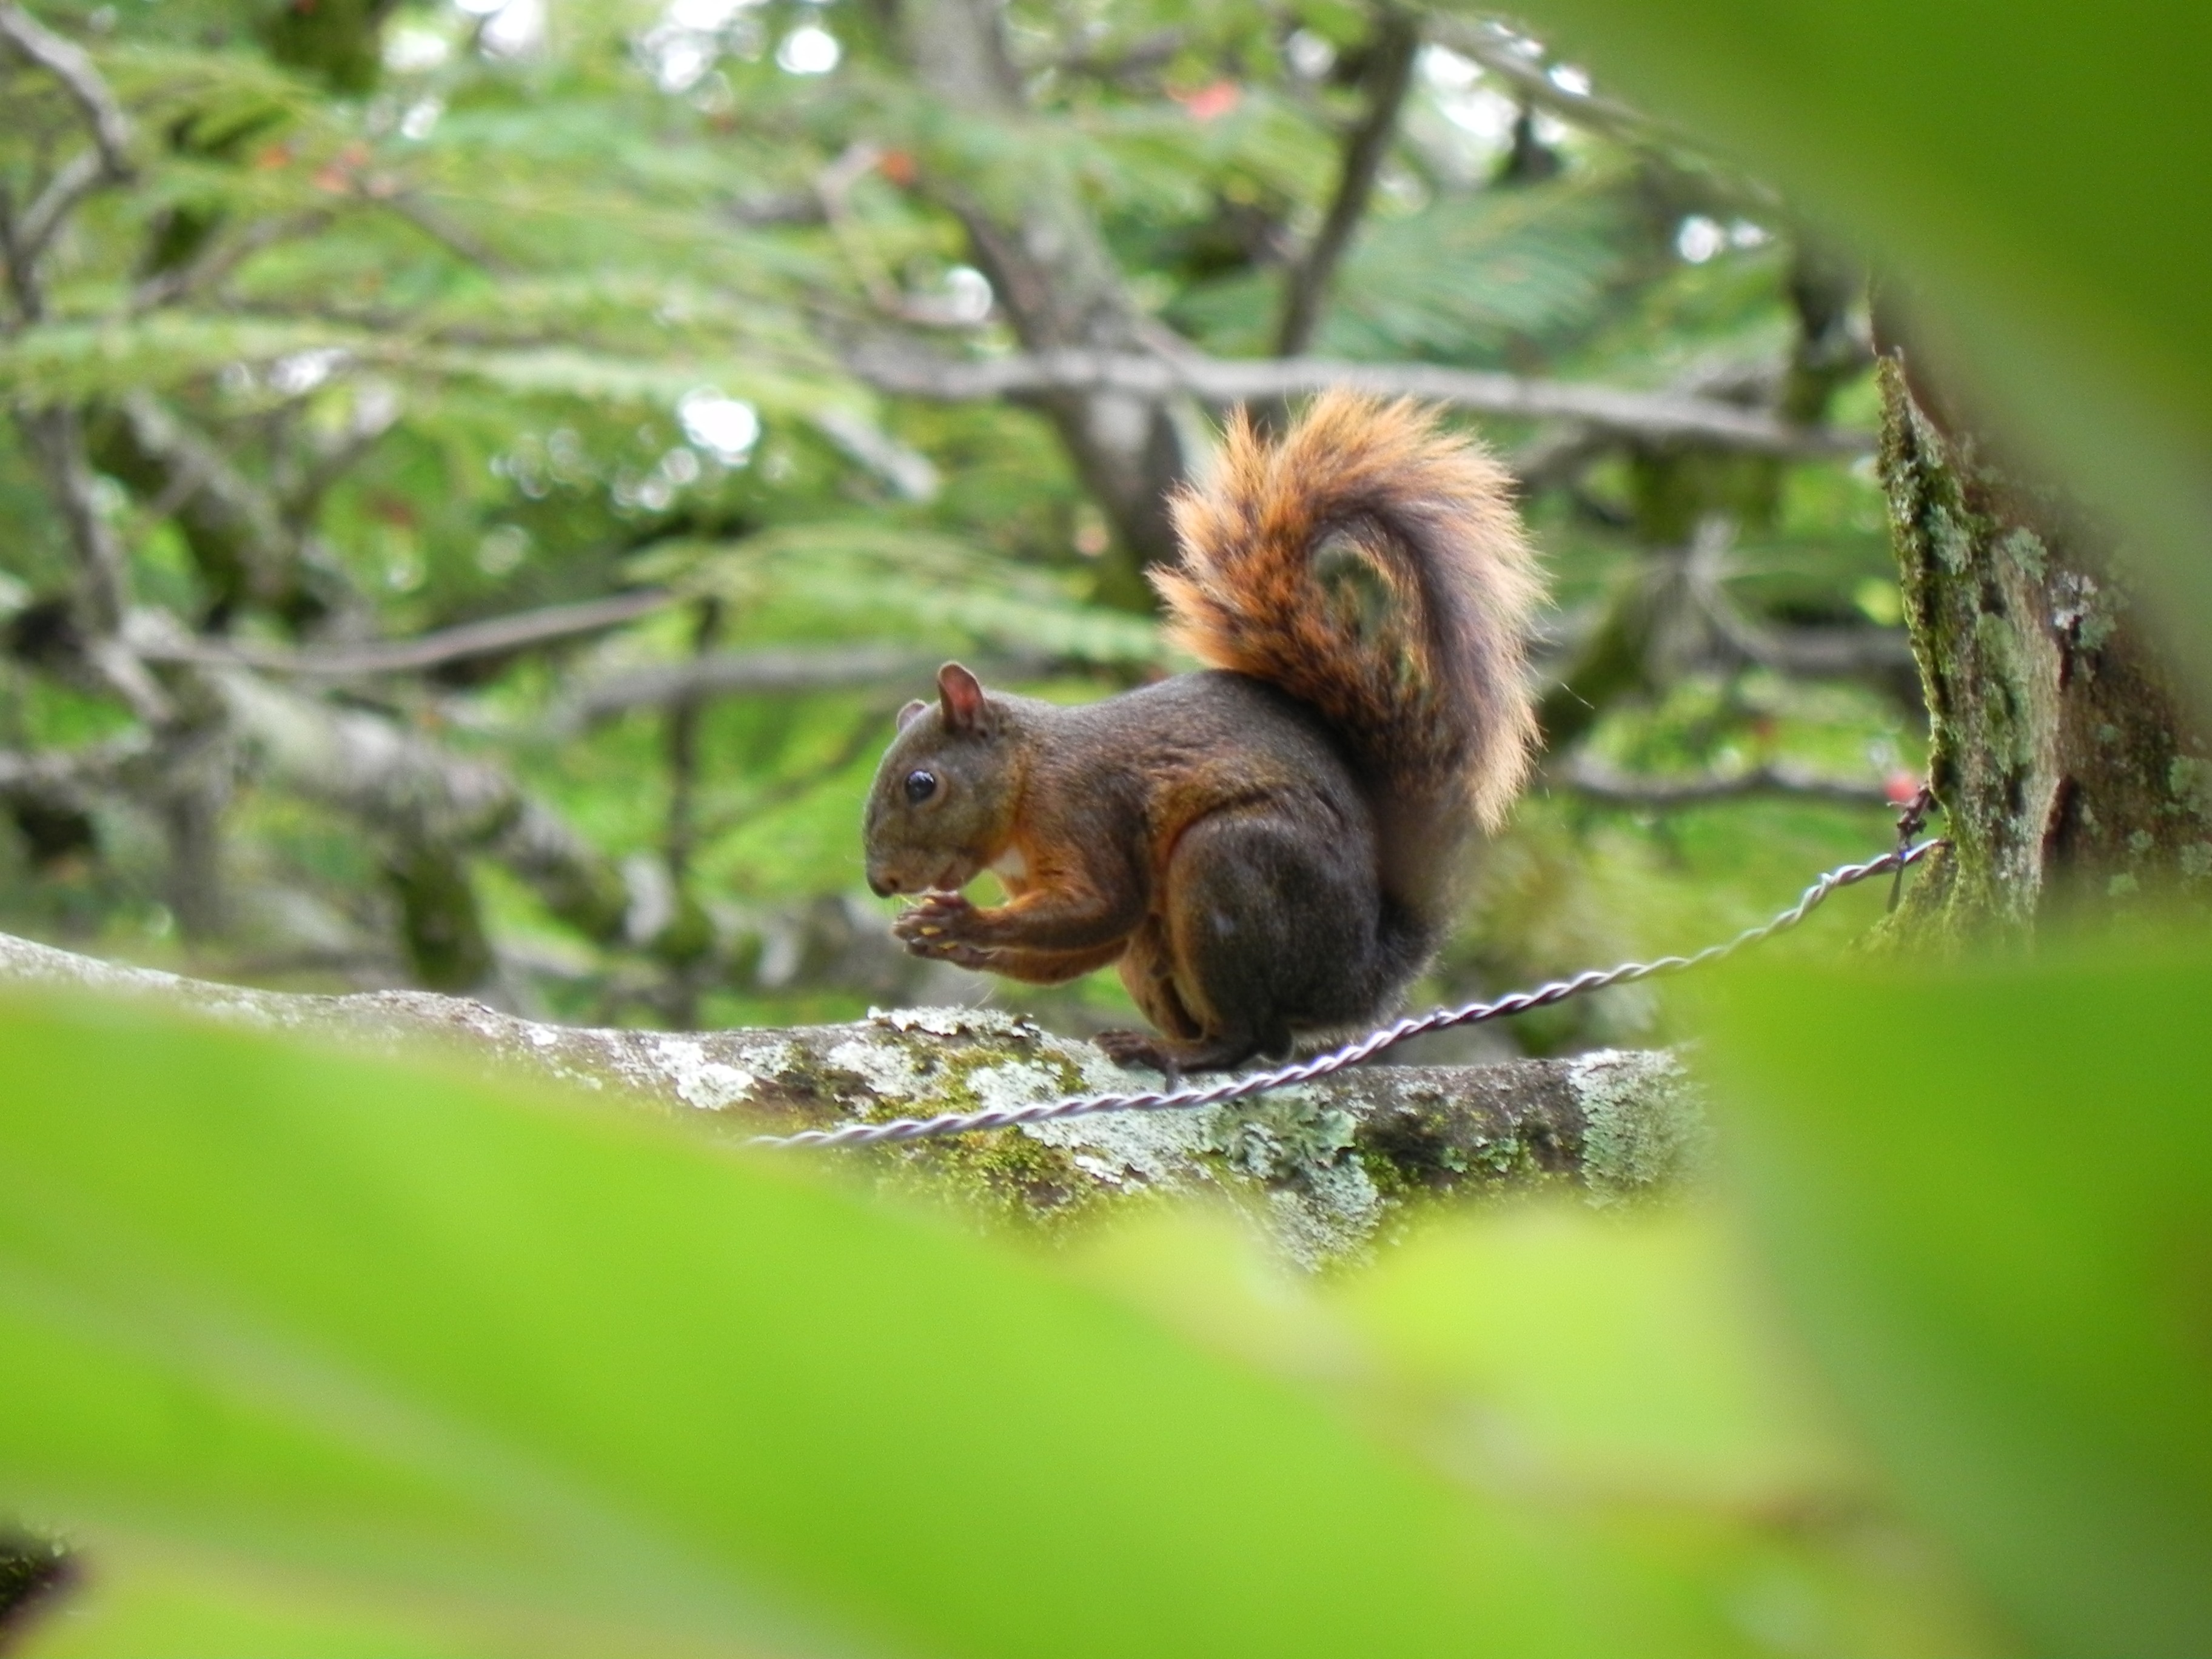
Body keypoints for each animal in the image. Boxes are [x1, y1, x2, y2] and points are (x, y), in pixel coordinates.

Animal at [861, 391, 1545, 1076]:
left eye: (922, 784)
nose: (881, 883)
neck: (1028, 775)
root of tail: (1358, 980)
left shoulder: (1083, 807)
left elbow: (1103, 904)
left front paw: (966, 926)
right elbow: (1090, 943)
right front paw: (949, 943)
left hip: (1230, 865)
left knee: (1252, 1036)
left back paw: (1180, 1050)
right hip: (1162, 944)